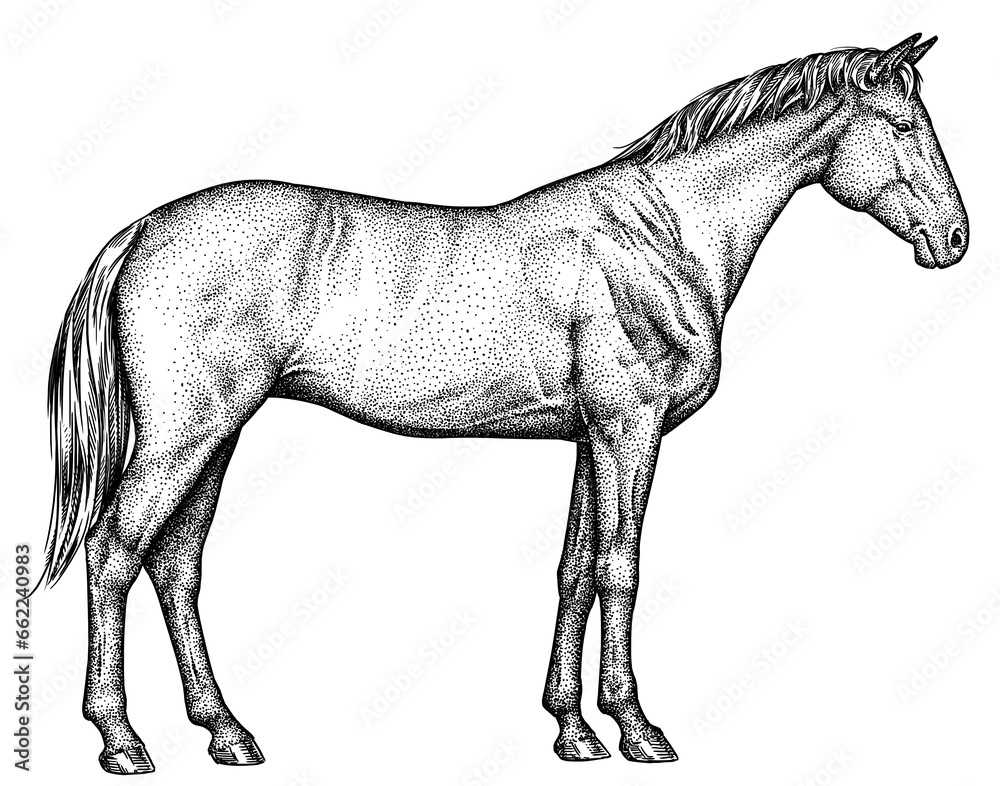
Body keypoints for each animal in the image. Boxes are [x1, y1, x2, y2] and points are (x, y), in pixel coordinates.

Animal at [39, 33, 966, 773]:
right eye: (902, 126)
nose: (955, 239)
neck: (658, 237)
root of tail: (143, 231)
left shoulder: (592, 438)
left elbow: (575, 571)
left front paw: (574, 730)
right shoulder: (630, 432)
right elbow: (621, 570)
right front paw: (637, 729)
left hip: (217, 434)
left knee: (176, 566)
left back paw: (226, 733)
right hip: (185, 436)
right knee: (115, 554)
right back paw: (121, 741)